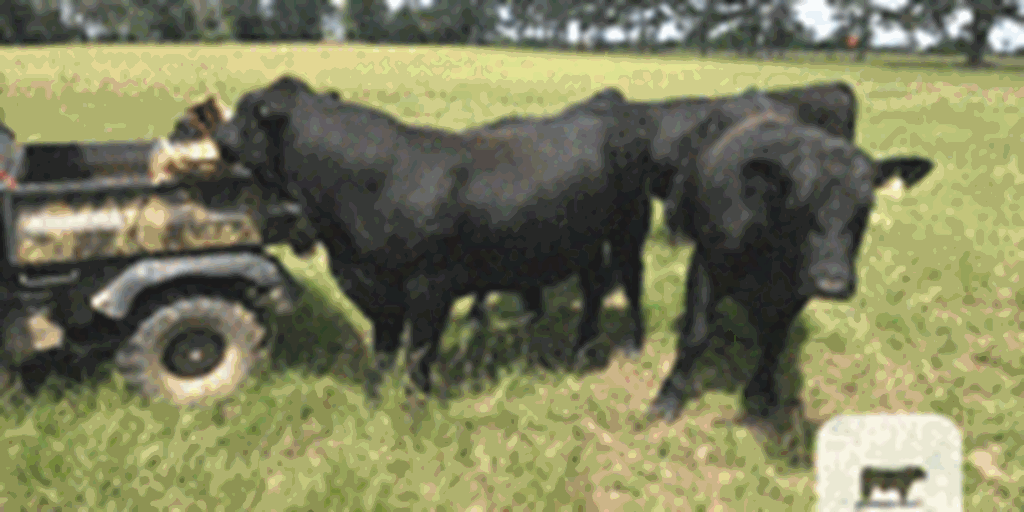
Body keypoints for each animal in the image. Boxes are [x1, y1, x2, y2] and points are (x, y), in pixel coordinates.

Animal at [212, 75, 650, 397]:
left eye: (246, 110)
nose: (217, 132)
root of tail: (605, 105)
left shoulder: (430, 288)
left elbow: (418, 353)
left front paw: (413, 408)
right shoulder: (376, 290)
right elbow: (384, 350)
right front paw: (375, 398)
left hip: (629, 229)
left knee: (630, 283)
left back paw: (634, 343)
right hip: (586, 244)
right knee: (594, 289)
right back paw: (582, 349)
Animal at [646, 96, 935, 422]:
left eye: (867, 205)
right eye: (798, 202)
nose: (831, 282)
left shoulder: (796, 291)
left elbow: (775, 342)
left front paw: (762, 394)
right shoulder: (705, 265)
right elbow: (695, 334)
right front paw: (668, 397)